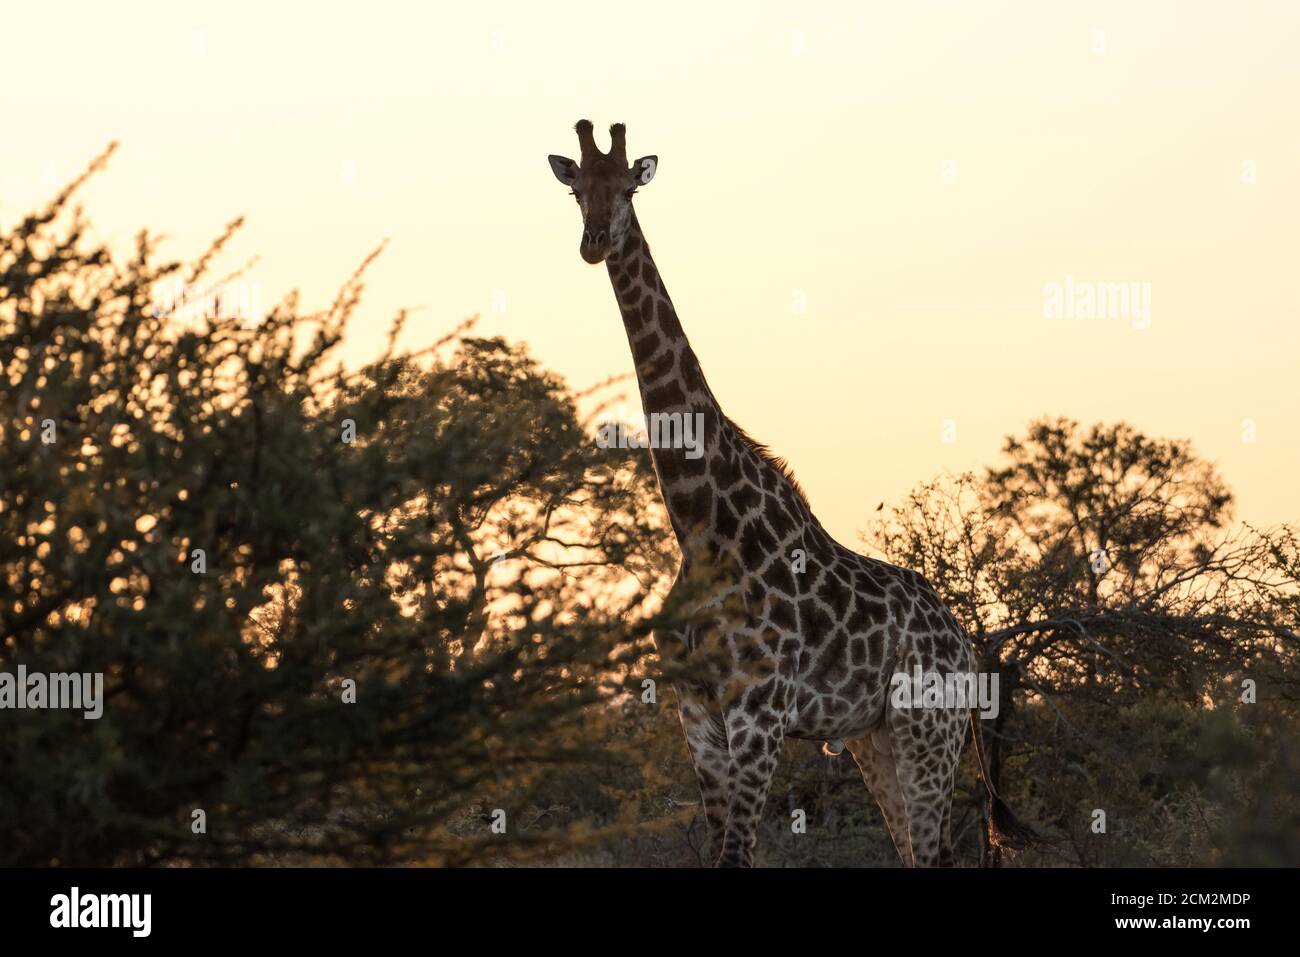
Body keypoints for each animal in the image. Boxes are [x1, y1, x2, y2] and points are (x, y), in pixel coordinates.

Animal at [547, 120, 1035, 867]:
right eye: (577, 191)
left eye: (629, 188)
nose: (595, 241)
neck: (700, 521)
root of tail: (963, 640)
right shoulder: (697, 707)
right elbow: (719, 850)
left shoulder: (760, 708)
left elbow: (738, 855)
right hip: (873, 736)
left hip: (930, 728)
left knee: (936, 852)